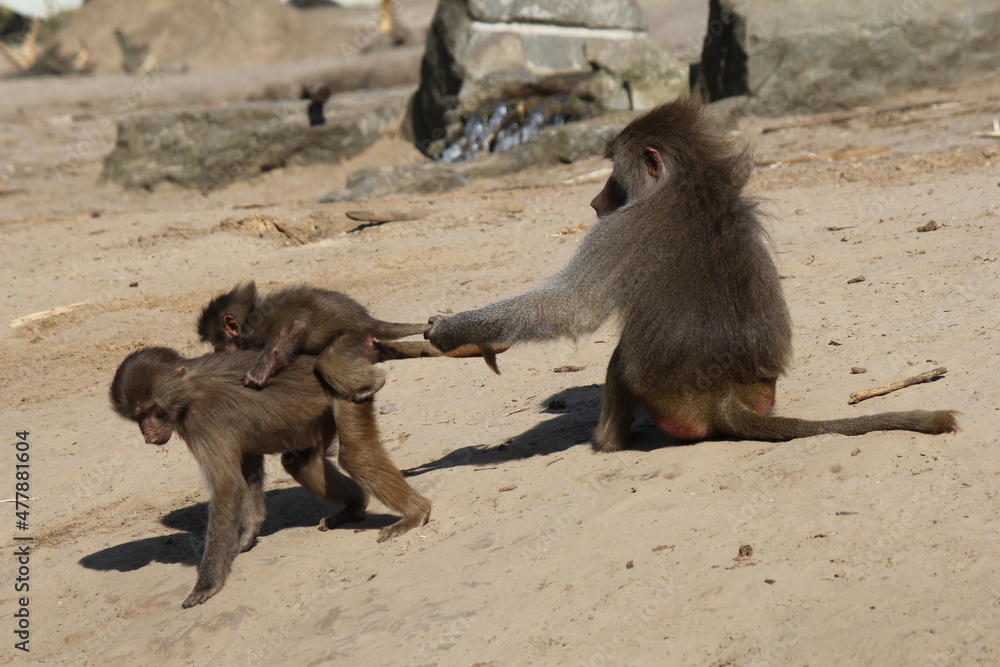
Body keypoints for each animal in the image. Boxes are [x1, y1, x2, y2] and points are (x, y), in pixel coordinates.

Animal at [109, 347, 431, 608]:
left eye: (151, 412)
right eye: (138, 417)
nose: (148, 434)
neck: (188, 389)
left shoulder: (204, 420)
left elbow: (227, 488)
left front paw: (207, 584)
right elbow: (248, 472)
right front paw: (247, 537)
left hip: (349, 394)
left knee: (354, 455)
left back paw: (416, 513)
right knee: (301, 463)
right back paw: (353, 507)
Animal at [197, 282, 501, 403]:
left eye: (216, 342)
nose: (217, 351)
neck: (248, 320)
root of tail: (366, 321)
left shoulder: (264, 328)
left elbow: (292, 328)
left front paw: (258, 374)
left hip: (351, 338)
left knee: (328, 361)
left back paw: (371, 385)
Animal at [425, 97, 957, 450]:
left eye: (613, 177)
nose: (595, 203)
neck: (690, 183)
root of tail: (725, 397)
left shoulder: (619, 230)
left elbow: (572, 307)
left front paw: (450, 329)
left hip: (670, 401)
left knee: (619, 359)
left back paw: (604, 444)